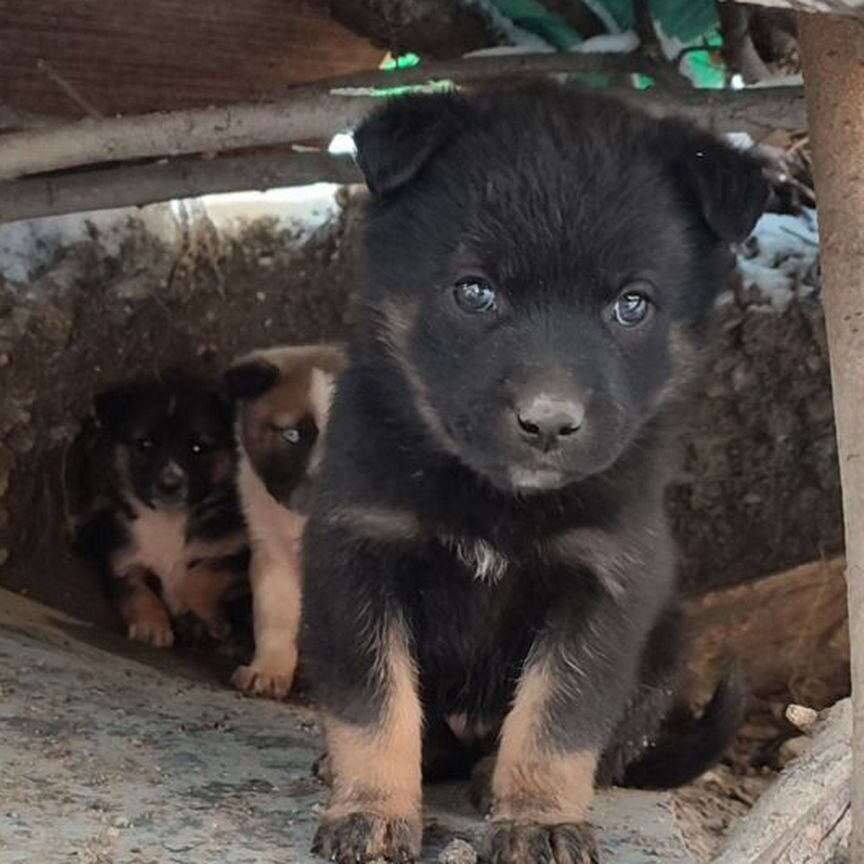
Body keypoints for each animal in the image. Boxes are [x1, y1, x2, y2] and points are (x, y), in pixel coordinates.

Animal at [69, 372, 248, 648]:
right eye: (145, 443)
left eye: (198, 447)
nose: (169, 485)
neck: (167, 520)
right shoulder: (121, 563)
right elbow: (137, 593)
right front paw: (151, 627)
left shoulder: (239, 553)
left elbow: (198, 578)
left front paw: (214, 621)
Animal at [298, 81, 768, 864]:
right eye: (474, 291)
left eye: (631, 304)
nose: (548, 424)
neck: (498, 503)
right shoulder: (358, 555)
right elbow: (375, 704)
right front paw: (371, 809)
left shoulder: (603, 585)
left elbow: (557, 720)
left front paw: (540, 821)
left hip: (667, 640)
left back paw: (493, 777)